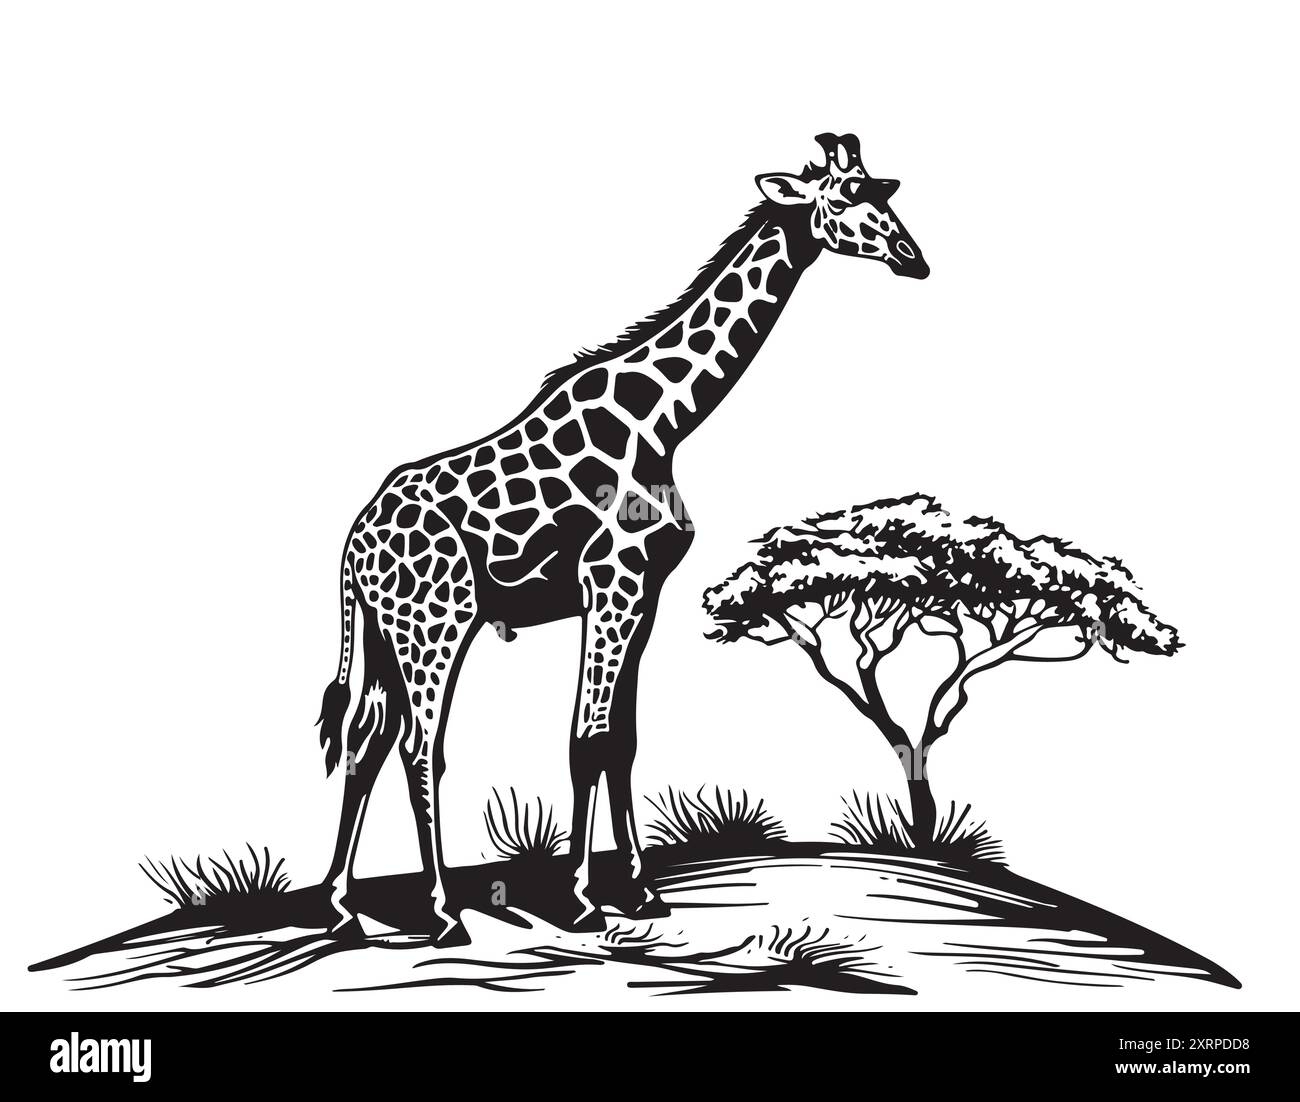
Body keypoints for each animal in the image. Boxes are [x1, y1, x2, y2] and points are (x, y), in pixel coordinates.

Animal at [317, 132, 929, 941]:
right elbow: (589, 738)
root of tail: (353, 540)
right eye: (843, 196)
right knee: (422, 748)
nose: (914, 258)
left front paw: (639, 892)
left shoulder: (646, 591)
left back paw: (342, 909)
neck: (666, 418)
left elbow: (624, 741)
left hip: (388, 635)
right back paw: (445, 913)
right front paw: (582, 901)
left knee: (364, 747)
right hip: (435, 624)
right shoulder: (612, 580)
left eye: (883, 191)